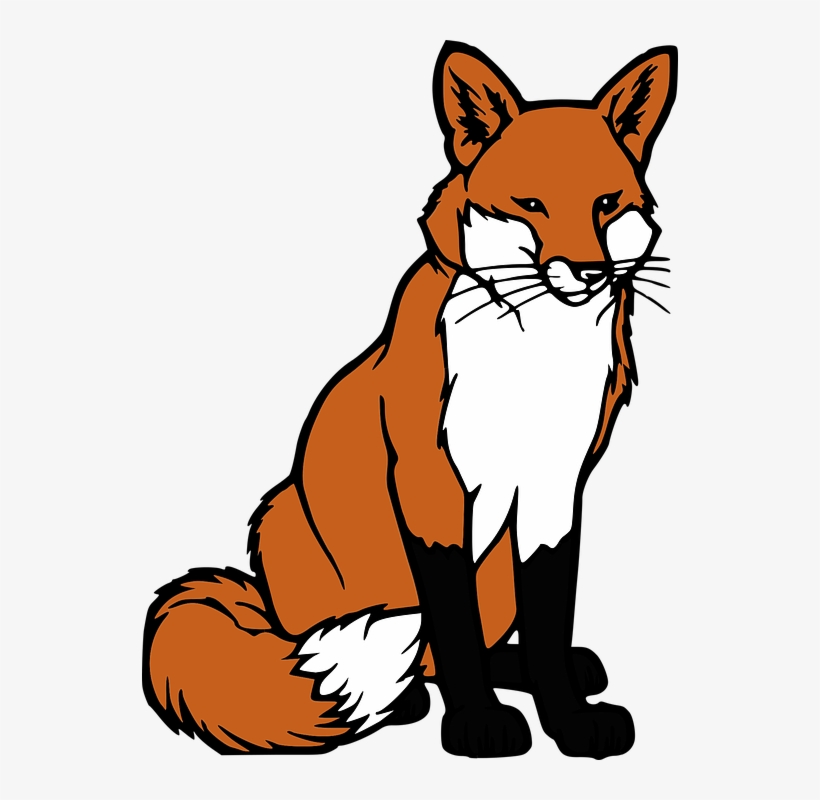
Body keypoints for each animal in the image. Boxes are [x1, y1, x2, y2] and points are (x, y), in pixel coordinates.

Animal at [143, 41, 677, 759]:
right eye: (531, 203)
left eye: (606, 202)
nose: (589, 273)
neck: (533, 360)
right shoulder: (431, 484)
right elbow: (451, 623)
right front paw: (477, 724)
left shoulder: (557, 489)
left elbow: (548, 621)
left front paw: (567, 717)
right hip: (283, 521)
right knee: (411, 654)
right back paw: (409, 700)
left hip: (497, 570)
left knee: (472, 645)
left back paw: (542, 671)